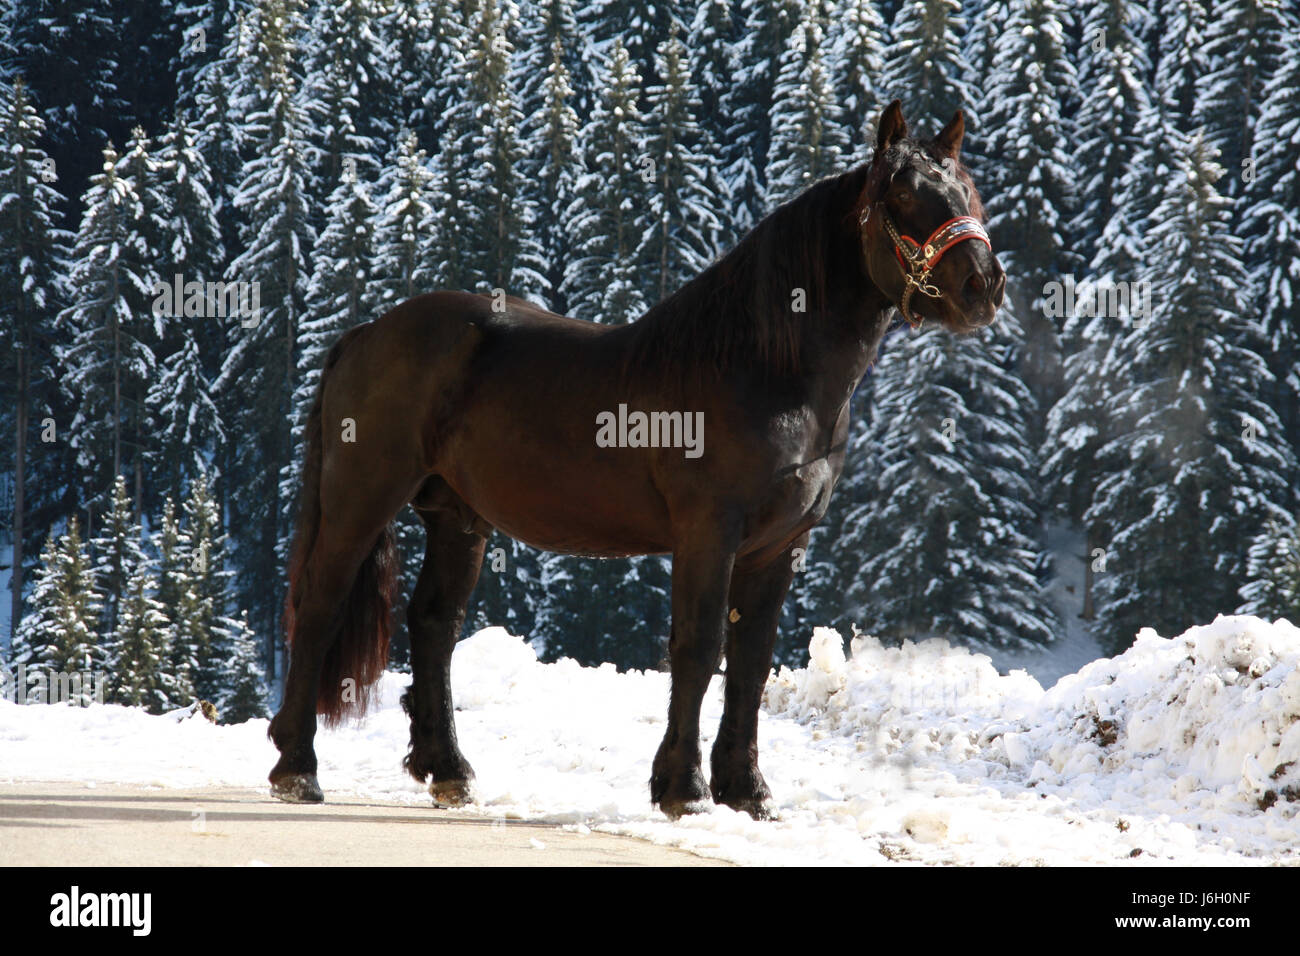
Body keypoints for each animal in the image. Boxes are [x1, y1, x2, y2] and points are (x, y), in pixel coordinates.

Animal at [267, 101, 1005, 819]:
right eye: (902, 195)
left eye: (967, 190)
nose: (984, 285)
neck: (766, 371)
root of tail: (366, 333)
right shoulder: (709, 533)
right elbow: (699, 648)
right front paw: (684, 790)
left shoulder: (780, 546)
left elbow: (752, 662)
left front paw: (747, 791)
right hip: (362, 498)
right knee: (321, 603)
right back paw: (297, 768)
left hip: (458, 516)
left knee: (433, 623)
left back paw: (447, 771)